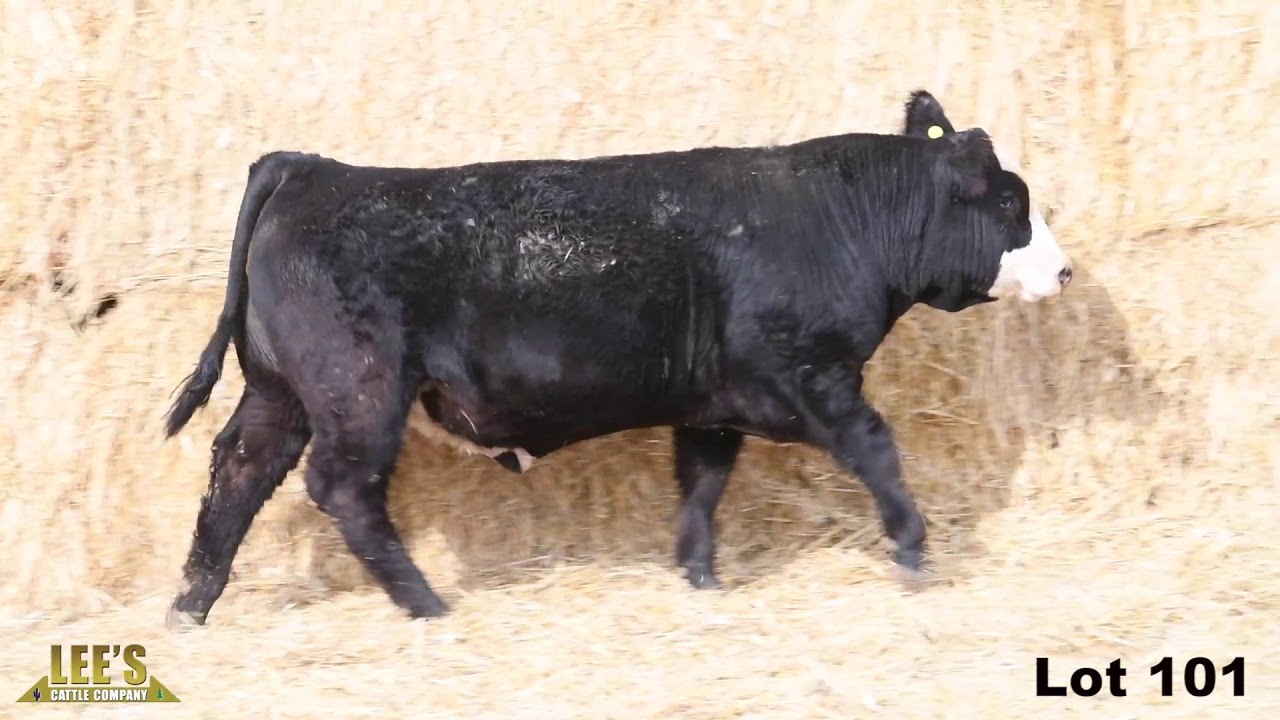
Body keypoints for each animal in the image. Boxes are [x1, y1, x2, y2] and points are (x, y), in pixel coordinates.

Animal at [162, 89, 1071, 628]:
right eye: (1009, 202)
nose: (1064, 270)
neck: (836, 218)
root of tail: (314, 169)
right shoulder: (814, 380)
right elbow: (877, 451)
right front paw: (914, 551)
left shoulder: (713, 406)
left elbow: (701, 488)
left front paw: (700, 580)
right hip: (359, 394)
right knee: (343, 490)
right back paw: (428, 606)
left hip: (281, 394)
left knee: (236, 474)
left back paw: (189, 607)